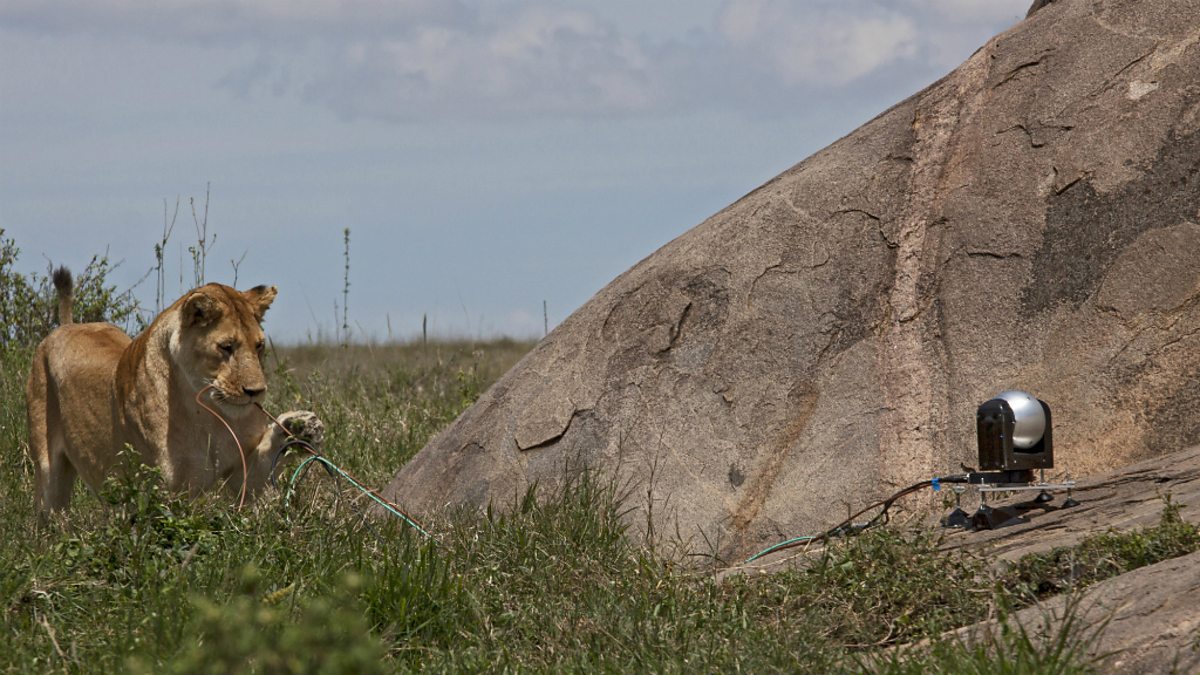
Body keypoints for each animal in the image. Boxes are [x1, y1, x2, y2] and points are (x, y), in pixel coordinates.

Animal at [25, 267, 323, 516]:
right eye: (226, 347)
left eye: (259, 345)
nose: (256, 391)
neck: (208, 414)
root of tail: (67, 325)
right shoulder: (166, 491)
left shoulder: (243, 475)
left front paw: (301, 425)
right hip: (48, 474)